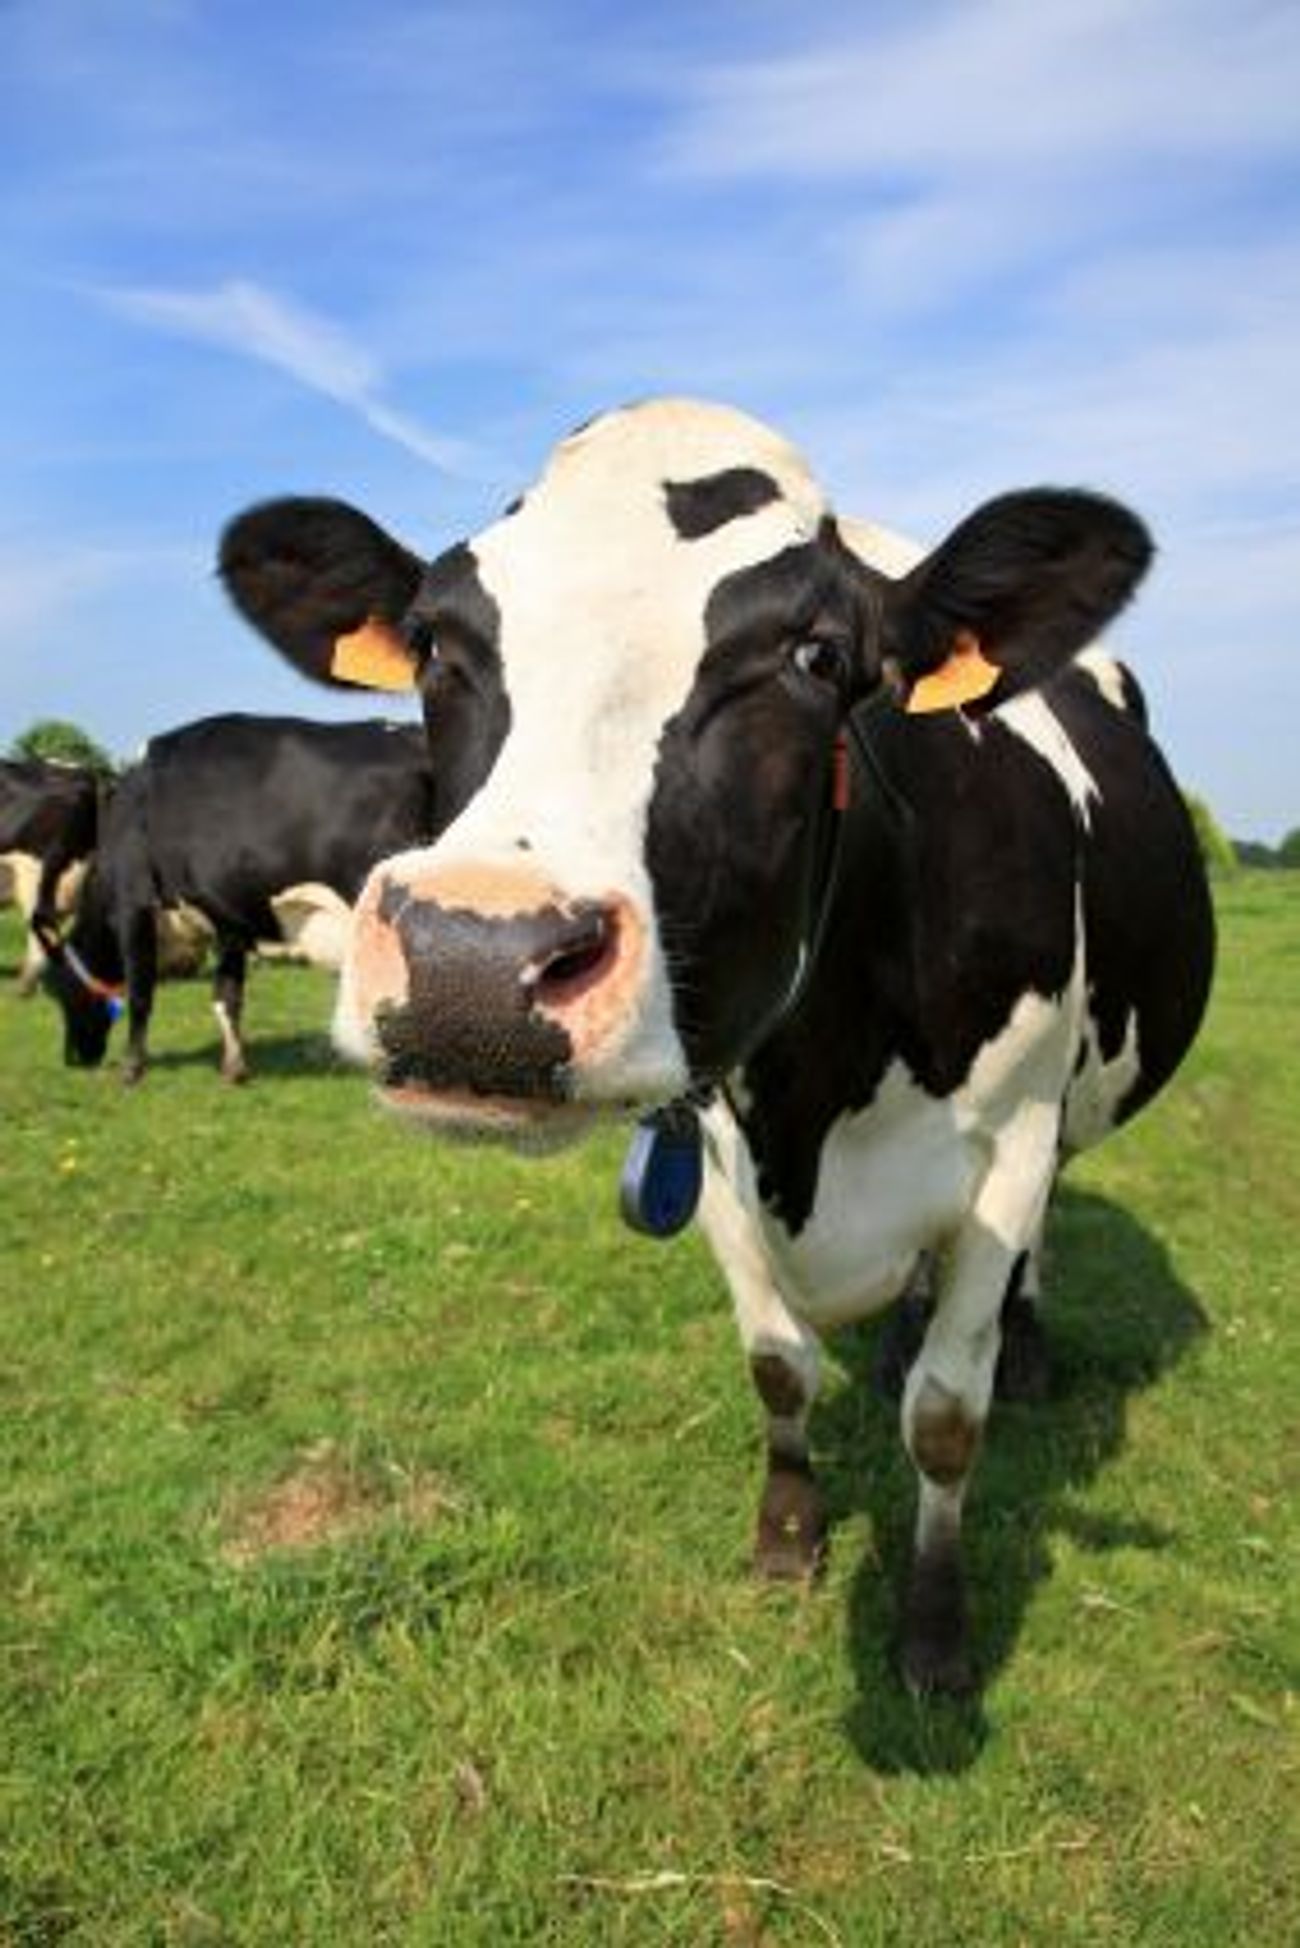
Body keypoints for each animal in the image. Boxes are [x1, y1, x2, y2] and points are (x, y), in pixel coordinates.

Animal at [43, 712, 441, 1085]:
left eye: (60, 992)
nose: (73, 1059)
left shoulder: (133, 904)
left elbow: (140, 991)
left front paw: (131, 1068)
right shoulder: (227, 920)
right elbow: (226, 996)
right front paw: (234, 1068)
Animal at [219, 398, 1214, 1693]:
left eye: (817, 658)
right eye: (436, 642)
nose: (471, 964)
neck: (821, 1097)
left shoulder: (1009, 1142)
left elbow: (948, 1413)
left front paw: (934, 1630)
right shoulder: (717, 1148)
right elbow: (778, 1363)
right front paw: (787, 1535)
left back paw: (1026, 1344)